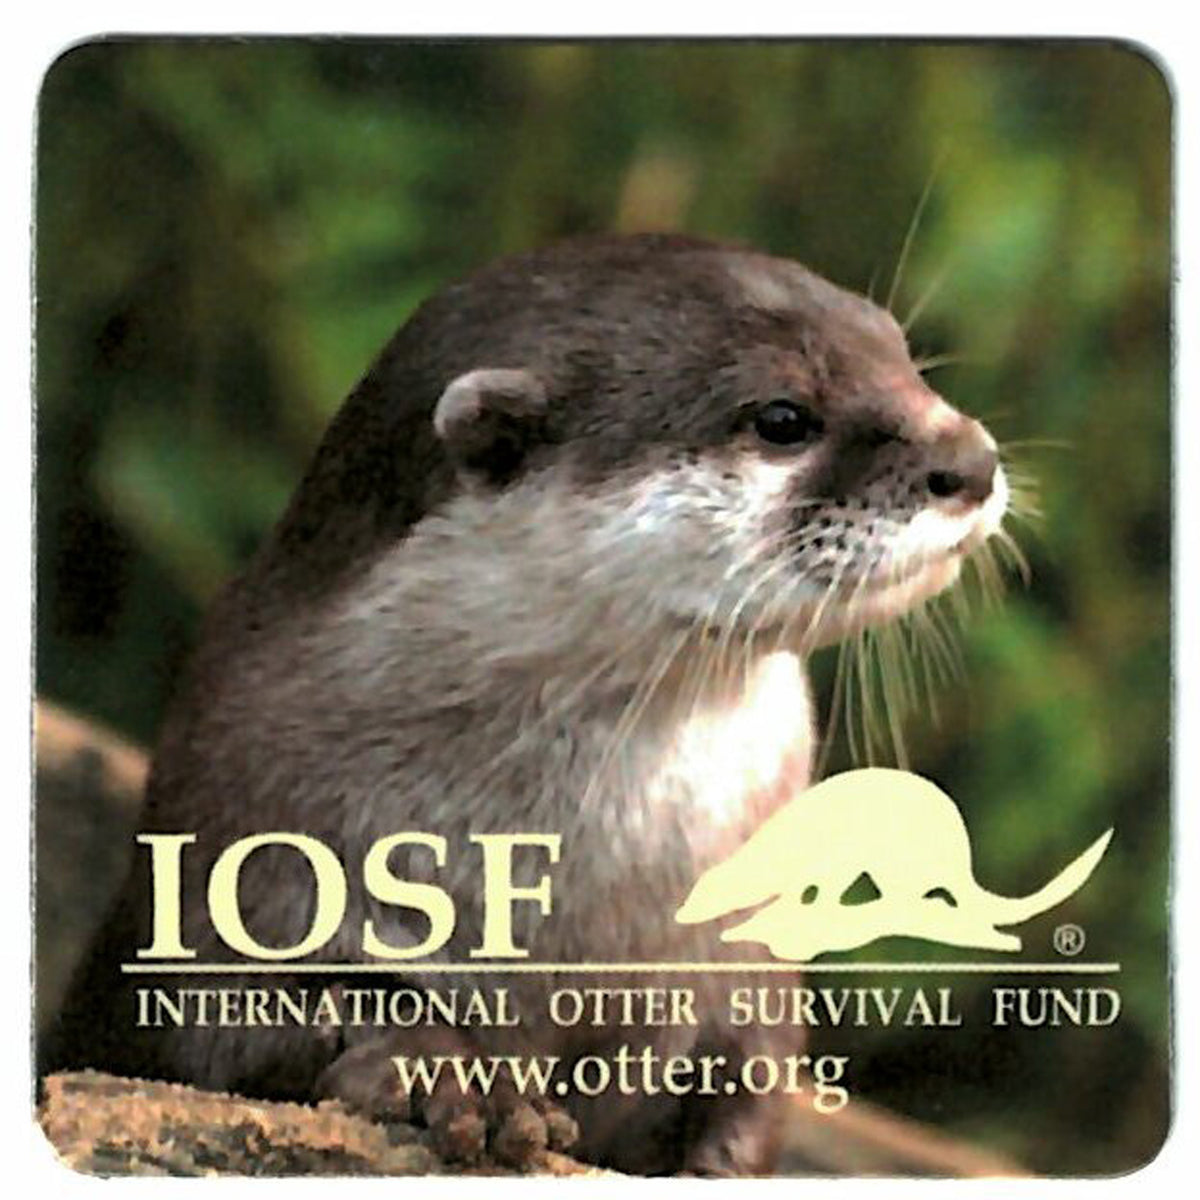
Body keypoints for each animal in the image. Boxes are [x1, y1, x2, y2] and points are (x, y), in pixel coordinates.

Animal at [42, 233, 1008, 1175]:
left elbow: (758, 1079)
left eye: (902, 355)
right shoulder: (231, 868)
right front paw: (447, 1075)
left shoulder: (748, 965)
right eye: (782, 418)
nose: (970, 461)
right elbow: (234, 1025)